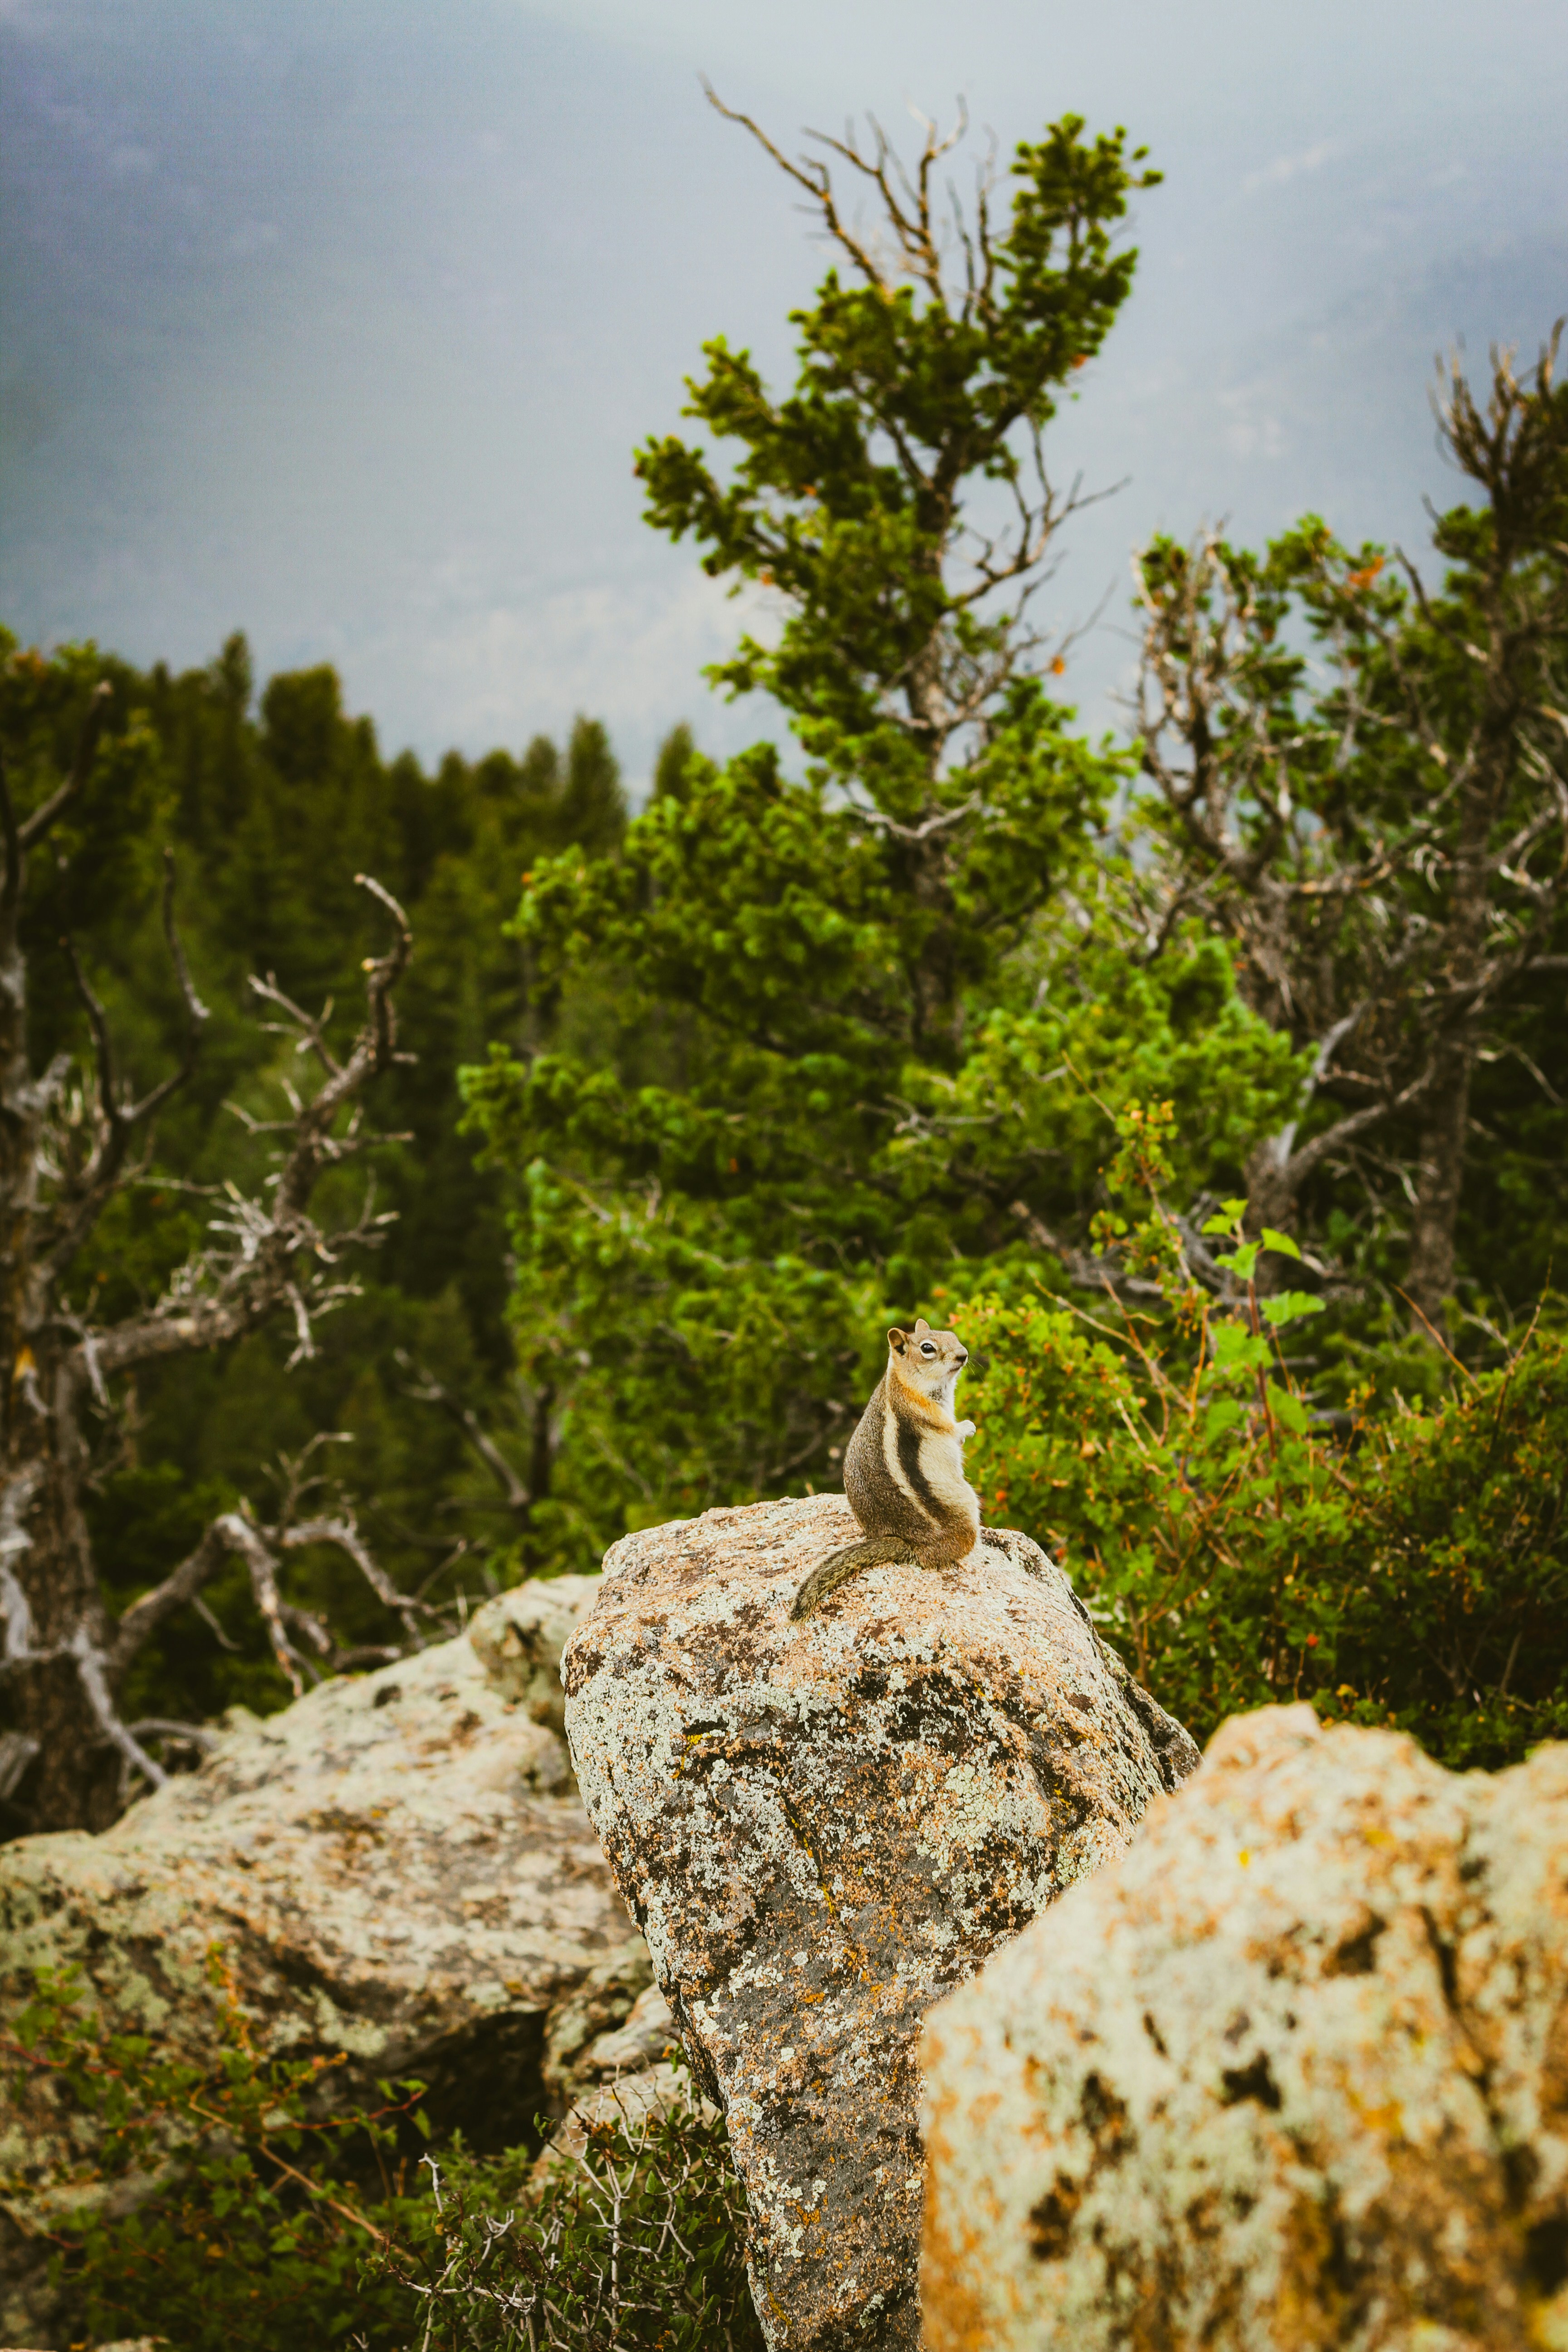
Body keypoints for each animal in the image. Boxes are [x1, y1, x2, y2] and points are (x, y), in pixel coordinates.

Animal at [790, 1317, 981, 1620]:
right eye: (927, 1348)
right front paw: (969, 1426)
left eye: (951, 1335)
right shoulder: (929, 1411)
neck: (904, 1381)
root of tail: (911, 1544)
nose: (963, 1355)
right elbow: (953, 1430)